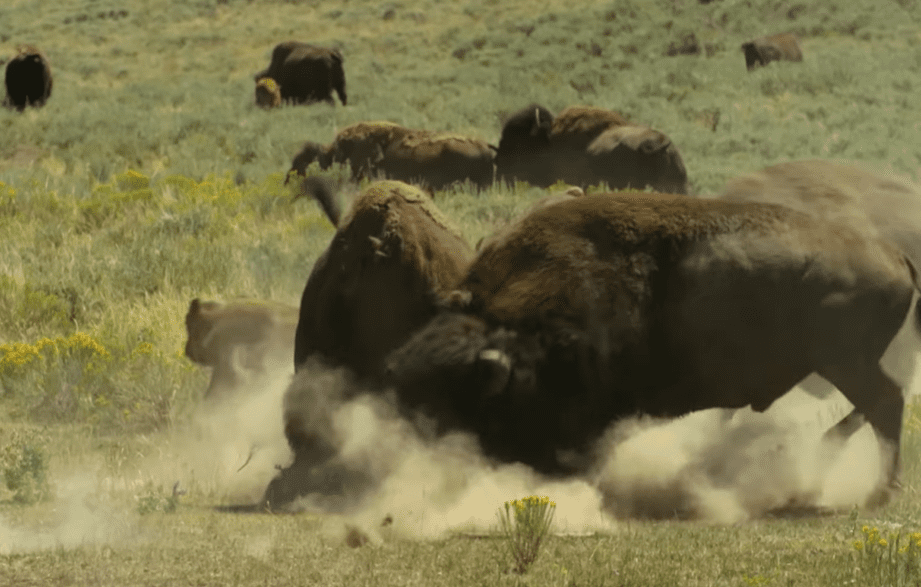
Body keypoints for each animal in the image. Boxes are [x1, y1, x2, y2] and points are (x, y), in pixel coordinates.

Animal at [386, 192, 919, 505]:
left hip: (845, 362)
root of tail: (894, 256)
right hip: (847, 363)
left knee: (885, 404)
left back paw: (878, 491)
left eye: (467, 411)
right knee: (875, 406)